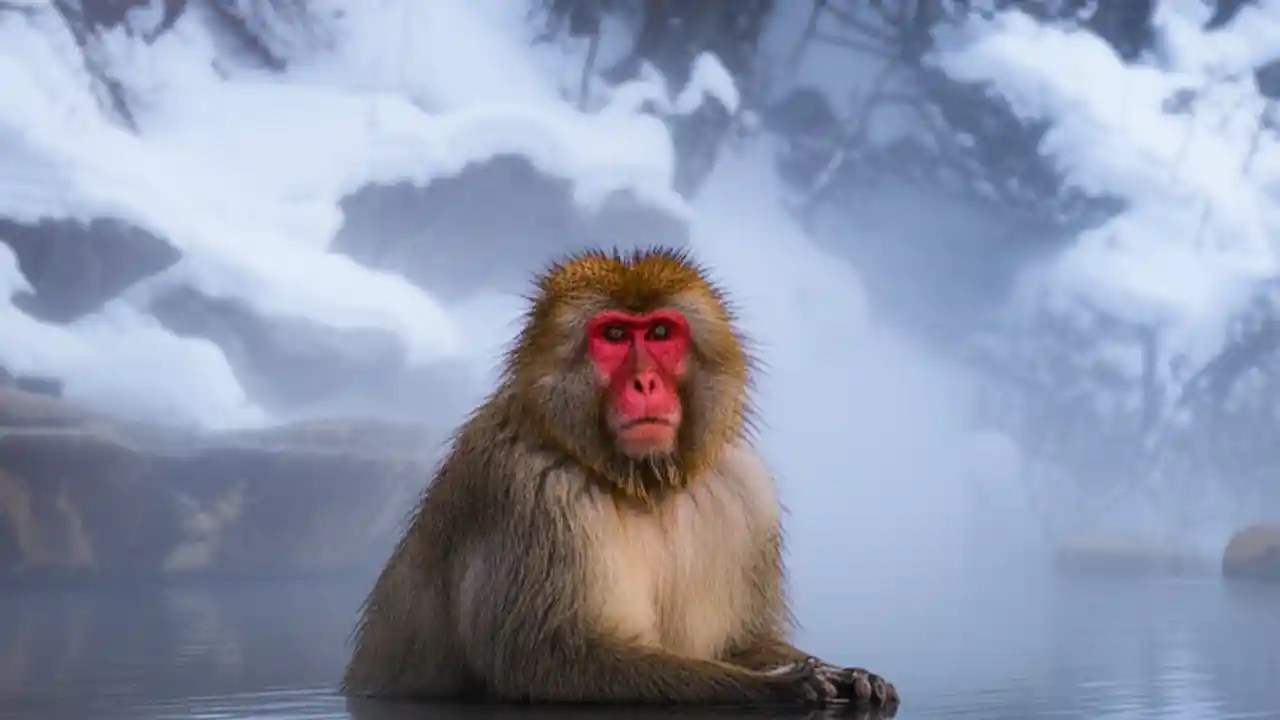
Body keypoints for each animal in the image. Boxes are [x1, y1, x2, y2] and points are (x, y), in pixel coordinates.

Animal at [341, 247, 899, 711]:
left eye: (659, 334)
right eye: (613, 336)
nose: (644, 382)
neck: (640, 484)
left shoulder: (746, 495)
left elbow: (741, 640)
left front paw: (845, 673)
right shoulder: (531, 492)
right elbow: (548, 659)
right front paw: (774, 687)